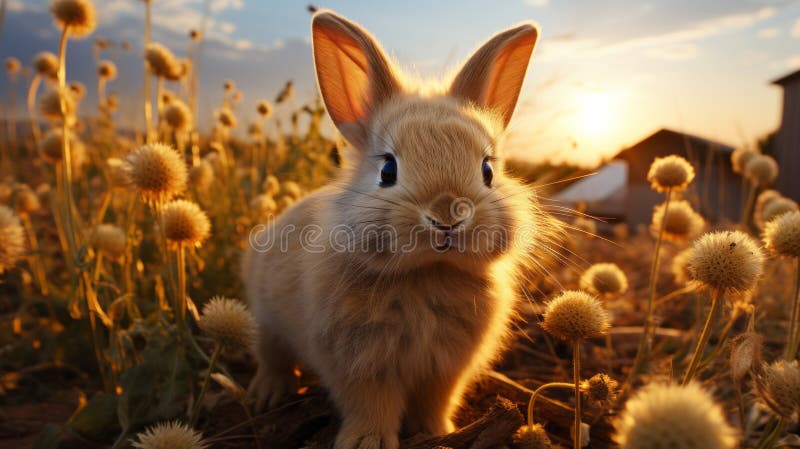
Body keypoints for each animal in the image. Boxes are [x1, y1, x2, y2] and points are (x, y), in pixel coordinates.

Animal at [244, 9, 550, 449]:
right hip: (267, 320)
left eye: (487, 170)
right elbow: (370, 404)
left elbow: (435, 399)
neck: (427, 274)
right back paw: (266, 394)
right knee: (271, 356)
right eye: (387, 170)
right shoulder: (359, 364)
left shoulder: (445, 369)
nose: (447, 216)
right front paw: (365, 442)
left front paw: (438, 432)